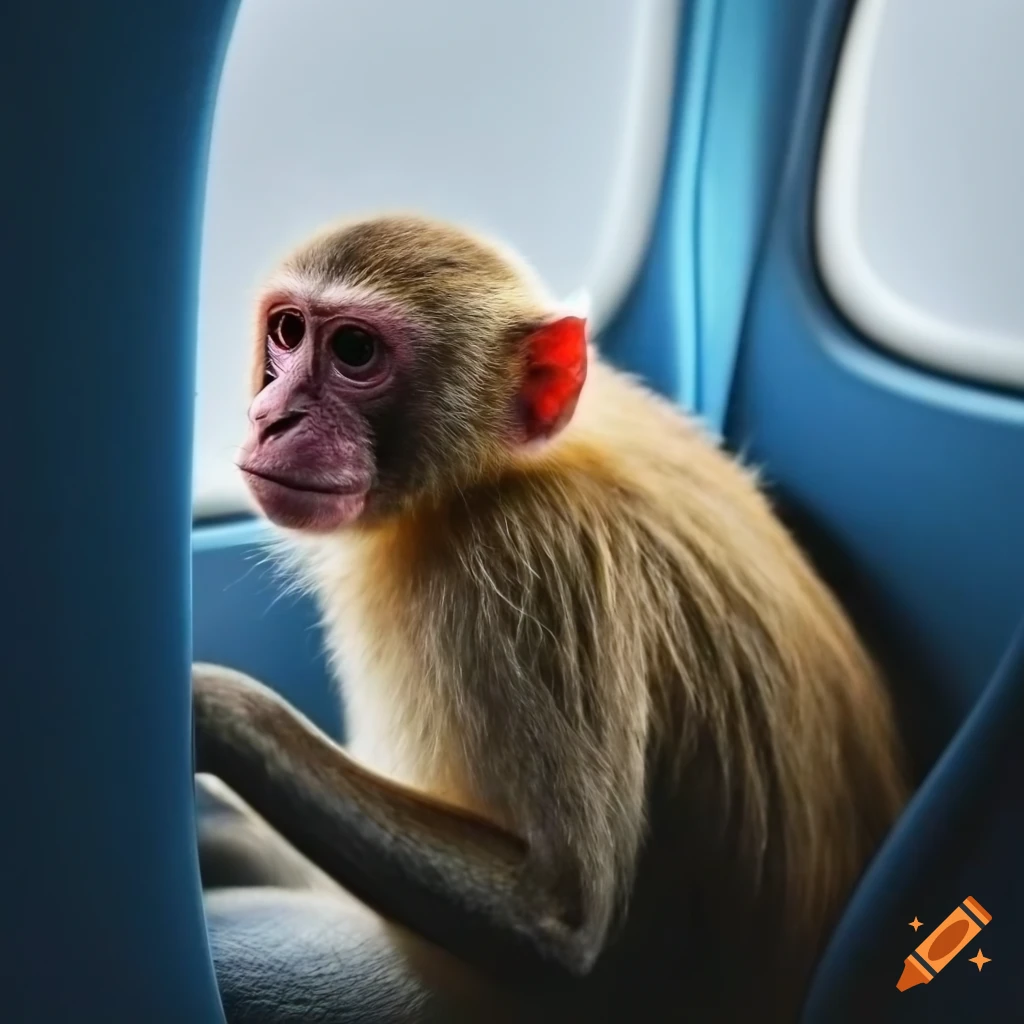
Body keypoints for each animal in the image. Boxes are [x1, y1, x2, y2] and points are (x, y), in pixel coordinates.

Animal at [194, 213, 908, 1023]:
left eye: (353, 352)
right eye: (287, 332)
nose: (272, 416)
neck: (492, 471)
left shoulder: (527, 563)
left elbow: (557, 918)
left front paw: (211, 711)